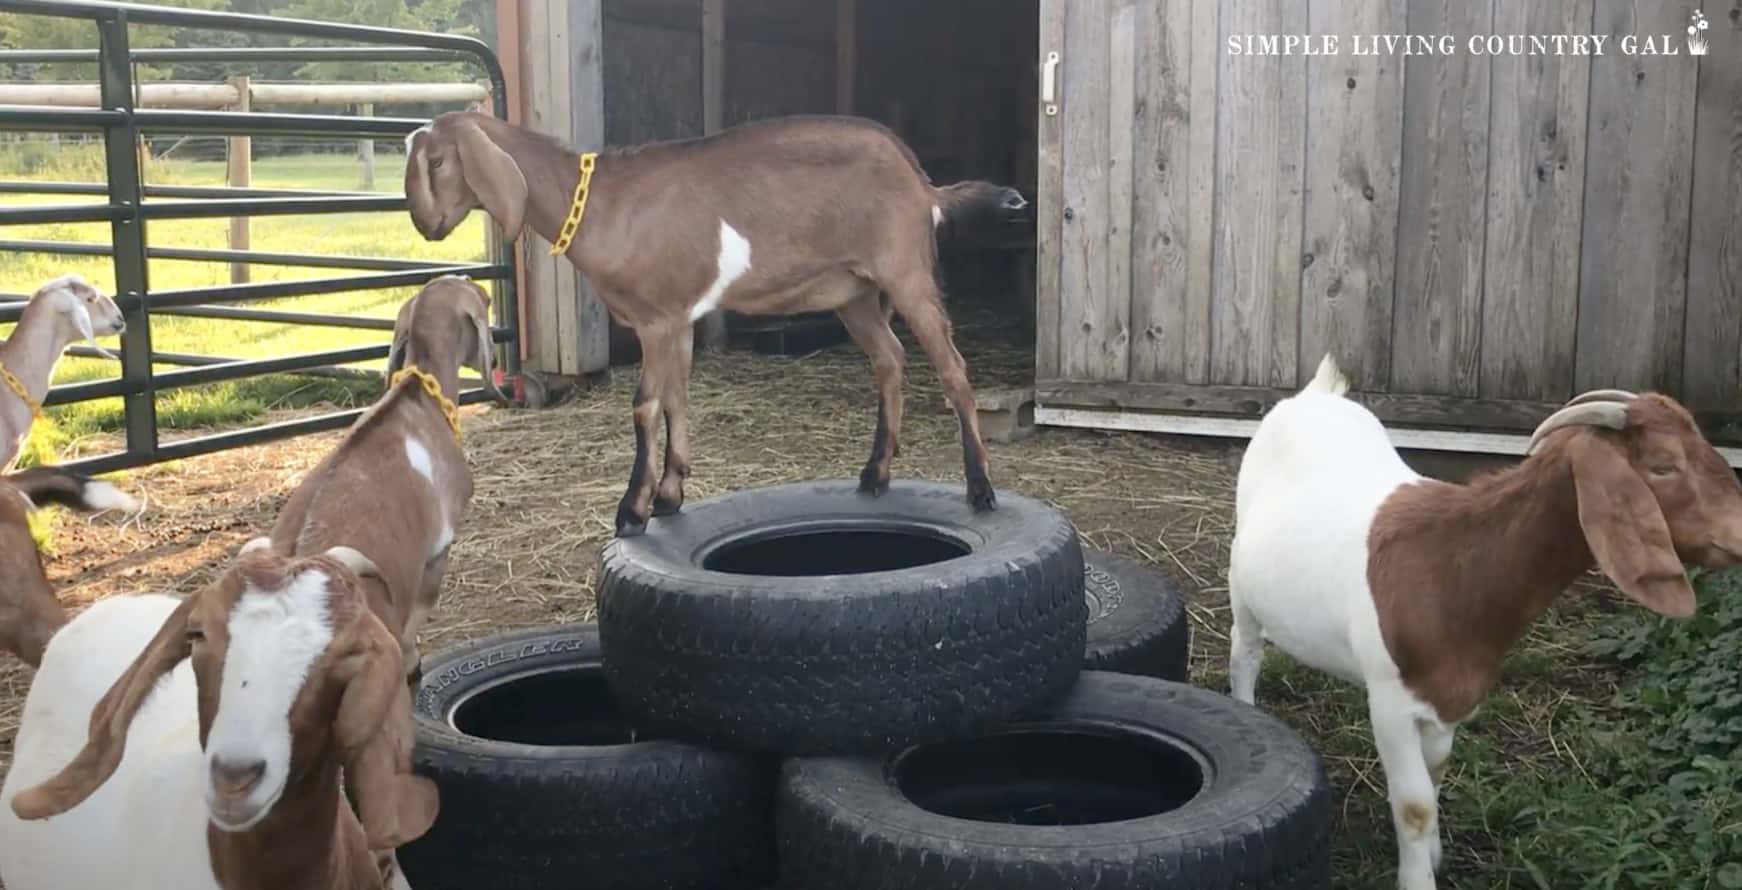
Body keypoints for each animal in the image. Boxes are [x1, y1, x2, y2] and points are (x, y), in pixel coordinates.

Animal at [404, 109, 1027, 535]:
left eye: (436, 161)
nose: (426, 226)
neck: (604, 205)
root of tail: (922, 182)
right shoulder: (678, 318)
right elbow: (678, 399)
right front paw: (670, 494)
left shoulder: (656, 318)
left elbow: (646, 406)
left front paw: (632, 510)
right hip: (853, 292)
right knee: (890, 359)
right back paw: (875, 474)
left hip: (906, 271)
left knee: (953, 369)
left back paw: (980, 488)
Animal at [1226, 355, 1742, 890]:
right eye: (1663, 466)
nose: (1738, 533)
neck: (1455, 566)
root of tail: (1317, 393)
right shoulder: (1390, 703)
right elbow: (1414, 806)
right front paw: (1417, 879)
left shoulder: (1449, 698)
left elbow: (1435, 776)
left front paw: (1433, 855)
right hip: (1242, 582)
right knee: (1246, 650)